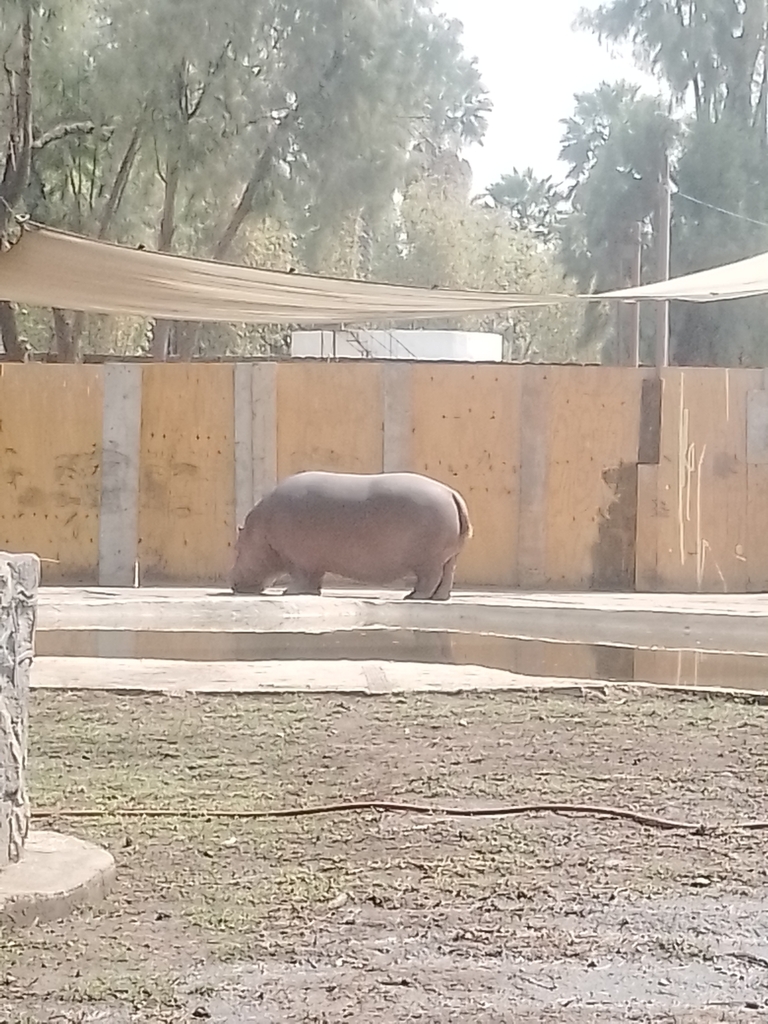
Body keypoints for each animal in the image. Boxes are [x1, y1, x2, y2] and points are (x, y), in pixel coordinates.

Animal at [231, 470, 472, 600]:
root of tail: (450, 493)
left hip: (428, 561)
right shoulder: (314, 562)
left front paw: (289, 593)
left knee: (430, 579)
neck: (259, 530)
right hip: (450, 558)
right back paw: (439, 598)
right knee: (446, 577)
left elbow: (301, 578)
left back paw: (413, 597)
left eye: (236, 548)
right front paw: (311, 593)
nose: (232, 584)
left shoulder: (299, 561)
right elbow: (314, 580)